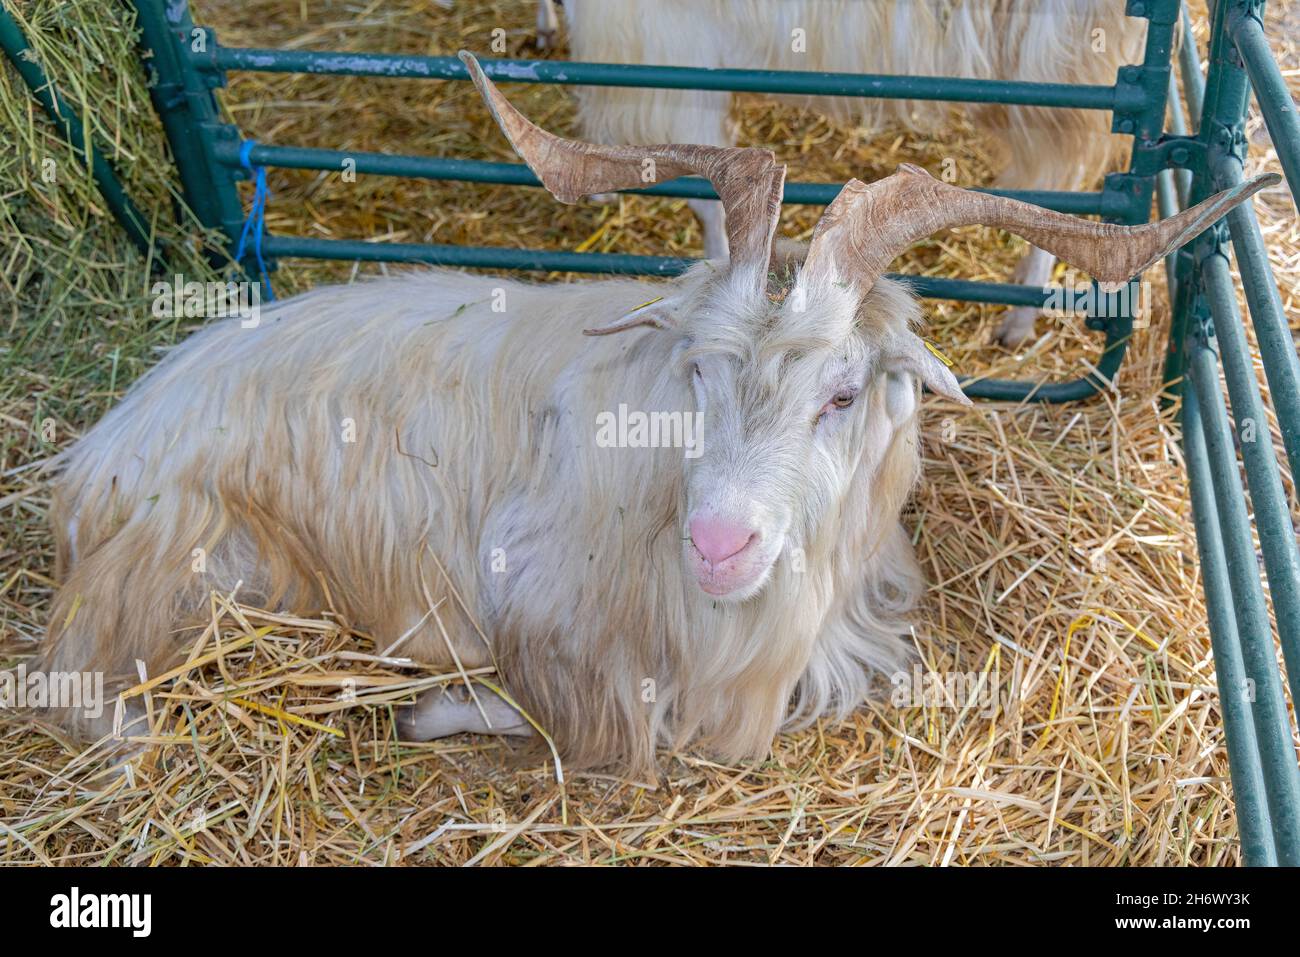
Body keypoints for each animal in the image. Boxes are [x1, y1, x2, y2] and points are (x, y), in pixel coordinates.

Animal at [37, 52, 1271, 776]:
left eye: (842, 392)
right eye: (700, 375)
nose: (718, 542)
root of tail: (108, 442)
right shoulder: (542, 606)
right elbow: (606, 727)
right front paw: (436, 709)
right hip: (190, 566)